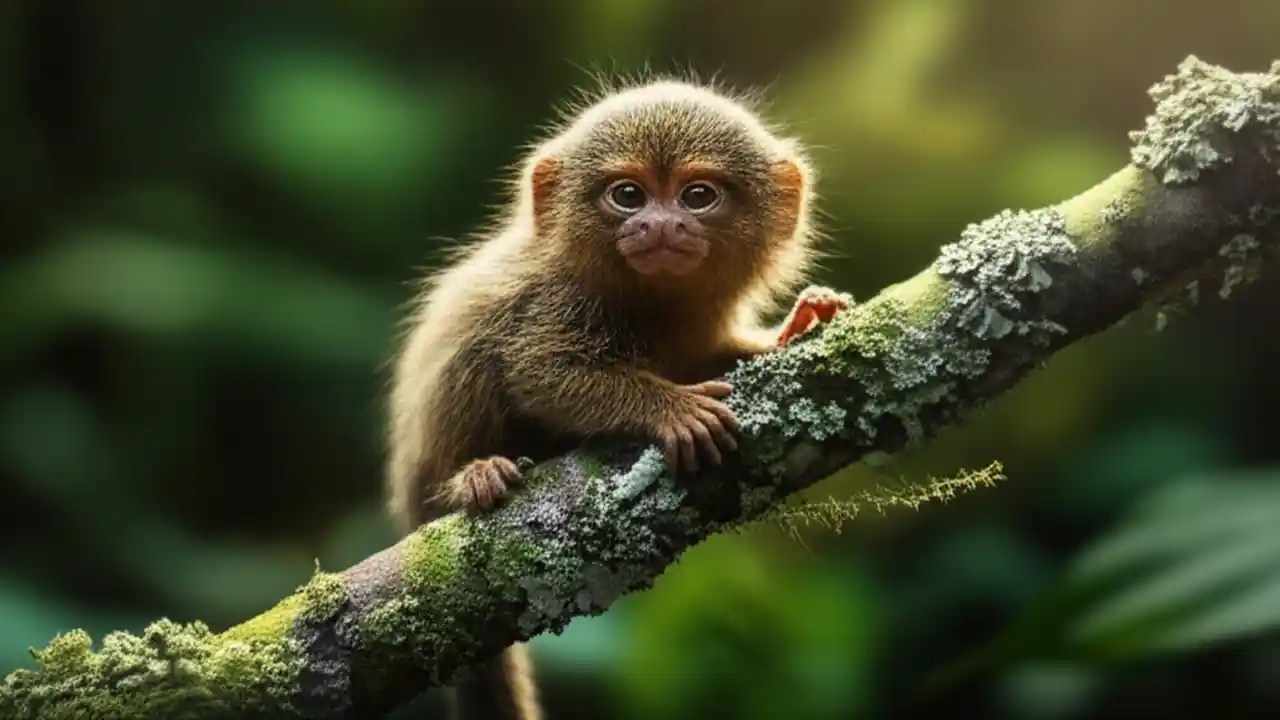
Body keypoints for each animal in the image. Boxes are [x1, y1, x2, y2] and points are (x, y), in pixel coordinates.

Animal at [385, 77, 846, 720]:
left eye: (697, 196)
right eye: (628, 195)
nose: (659, 225)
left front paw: (797, 325)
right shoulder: (551, 298)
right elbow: (540, 369)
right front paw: (674, 410)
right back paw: (468, 478)